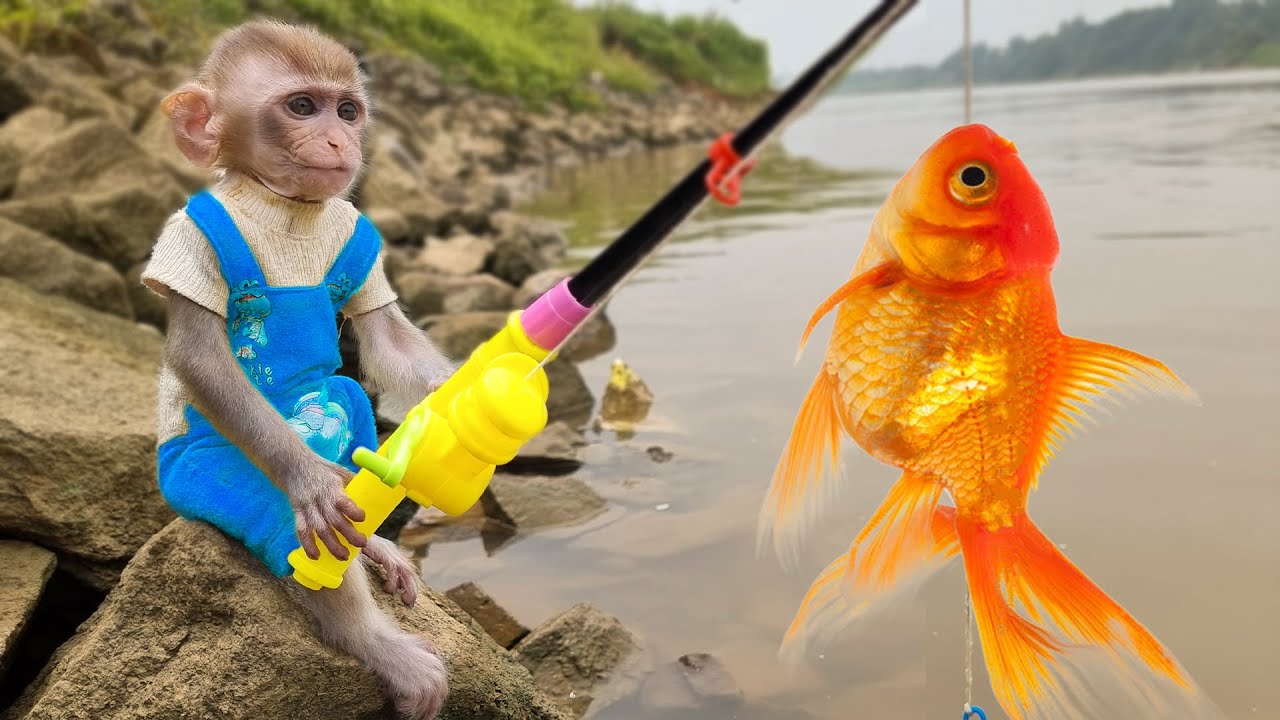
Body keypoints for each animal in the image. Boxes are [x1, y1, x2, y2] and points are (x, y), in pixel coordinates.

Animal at [141, 20, 454, 719]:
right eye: (302, 107)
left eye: (348, 111)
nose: (338, 139)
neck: (279, 204)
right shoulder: (186, 237)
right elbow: (200, 359)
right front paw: (310, 483)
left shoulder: (354, 227)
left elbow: (386, 340)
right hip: (199, 473)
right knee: (294, 529)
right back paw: (374, 642)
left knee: (349, 393)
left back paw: (378, 543)